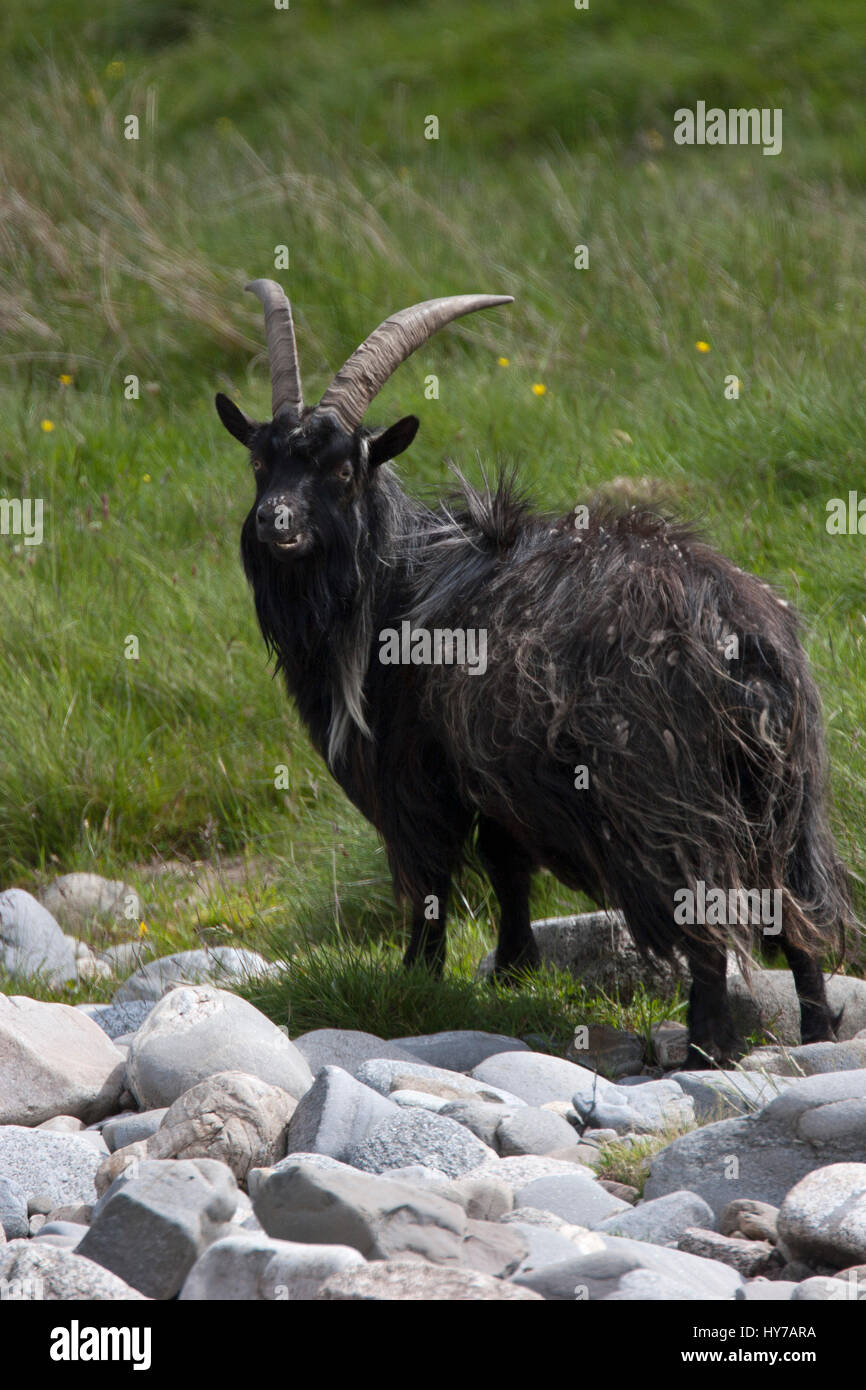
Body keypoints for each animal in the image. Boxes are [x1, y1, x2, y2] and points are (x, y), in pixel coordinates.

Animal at [215, 280, 857, 1063]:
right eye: (259, 462)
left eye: (342, 469)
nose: (276, 521)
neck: (394, 580)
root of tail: (739, 635)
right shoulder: (492, 767)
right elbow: (505, 860)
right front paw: (514, 967)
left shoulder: (412, 767)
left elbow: (431, 877)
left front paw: (417, 980)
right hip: (791, 798)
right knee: (799, 913)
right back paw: (817, 1029)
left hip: (666, 804)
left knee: (707, 924)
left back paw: (708, 1045)